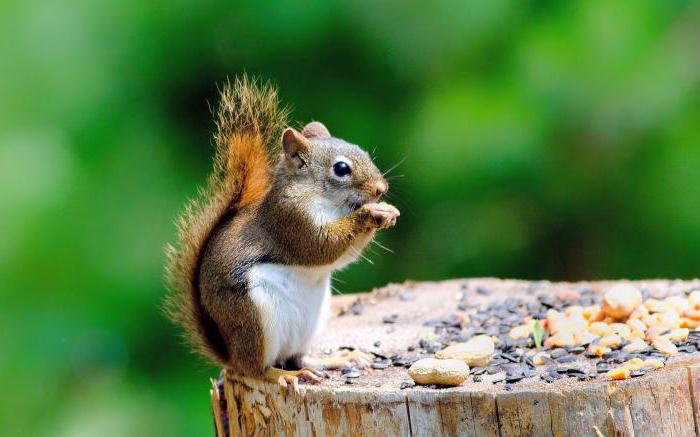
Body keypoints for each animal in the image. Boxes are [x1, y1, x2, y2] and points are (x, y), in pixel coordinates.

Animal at [161, 76, 396, 390]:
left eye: (364, 152)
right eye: (341, 168)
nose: (381, 189)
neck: (326, 201)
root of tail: (231, 355)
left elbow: (344, 255)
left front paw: (387, 211)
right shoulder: (290, 221)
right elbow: (321, 247)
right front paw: (370, 213)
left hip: (310, 323)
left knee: (298, 357)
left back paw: (335, 360)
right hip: (254, 319)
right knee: (256, 369)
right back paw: (283, 375)